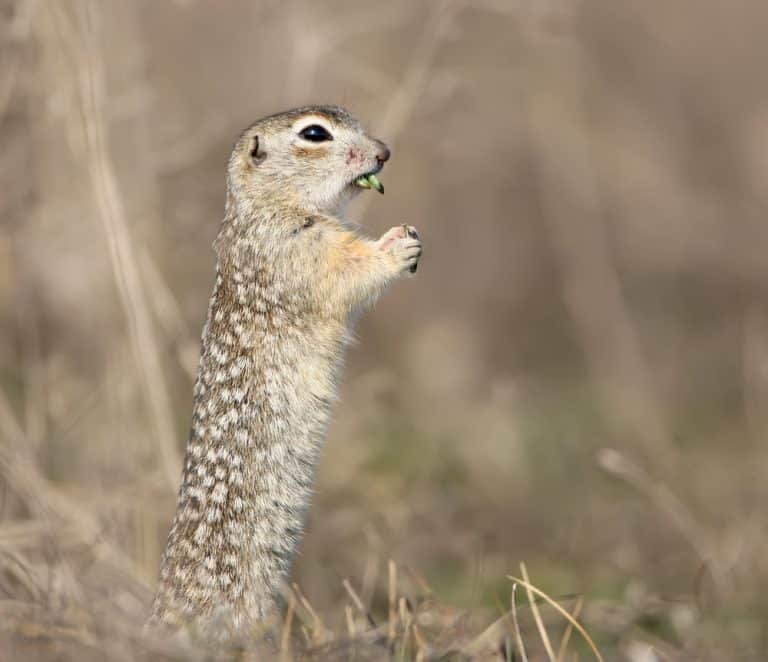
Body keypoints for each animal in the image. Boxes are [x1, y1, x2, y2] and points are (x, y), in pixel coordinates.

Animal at [148, 106, 421, 639]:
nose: (384, 152)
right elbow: (347, 273)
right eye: (315, 133)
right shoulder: (296, 251)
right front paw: (396, 247)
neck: (264, 207)